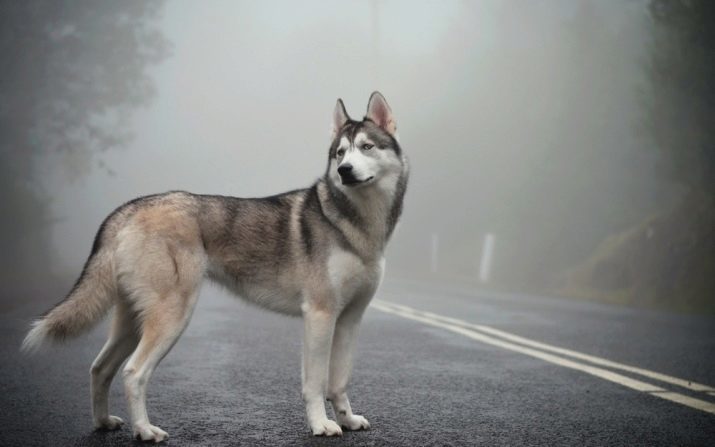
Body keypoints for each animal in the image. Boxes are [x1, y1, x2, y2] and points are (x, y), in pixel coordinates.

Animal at [21, 93, 408, 442]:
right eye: (340, 153)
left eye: (366, 147)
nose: (344, 171)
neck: (356, 224)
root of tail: (129, 208)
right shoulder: (319, 315)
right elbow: (315, 384)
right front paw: (321, 425)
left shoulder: (349, 319)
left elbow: (338, 381)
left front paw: (347, 420)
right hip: (172, 318)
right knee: (133, 373)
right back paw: (145, 430)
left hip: (131, 324)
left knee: (100, 368)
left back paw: (103, 423)